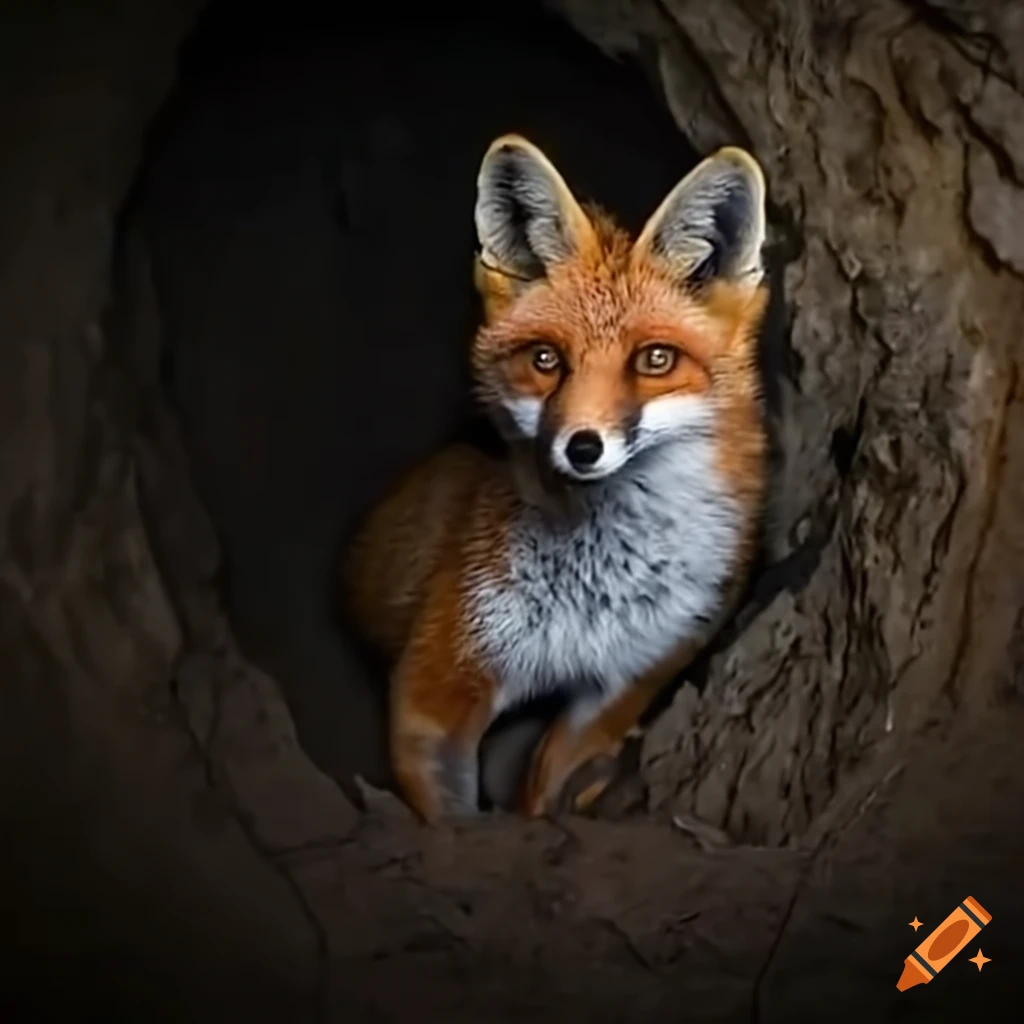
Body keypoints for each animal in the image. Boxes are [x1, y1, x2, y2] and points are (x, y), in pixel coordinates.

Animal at [344, 133, 769, 824]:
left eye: (655, 360)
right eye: (546, 360)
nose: (583, 447)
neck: (596, 592)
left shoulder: (625, 685)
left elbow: (545, 799)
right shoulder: (439, 679)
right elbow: (454, 819)